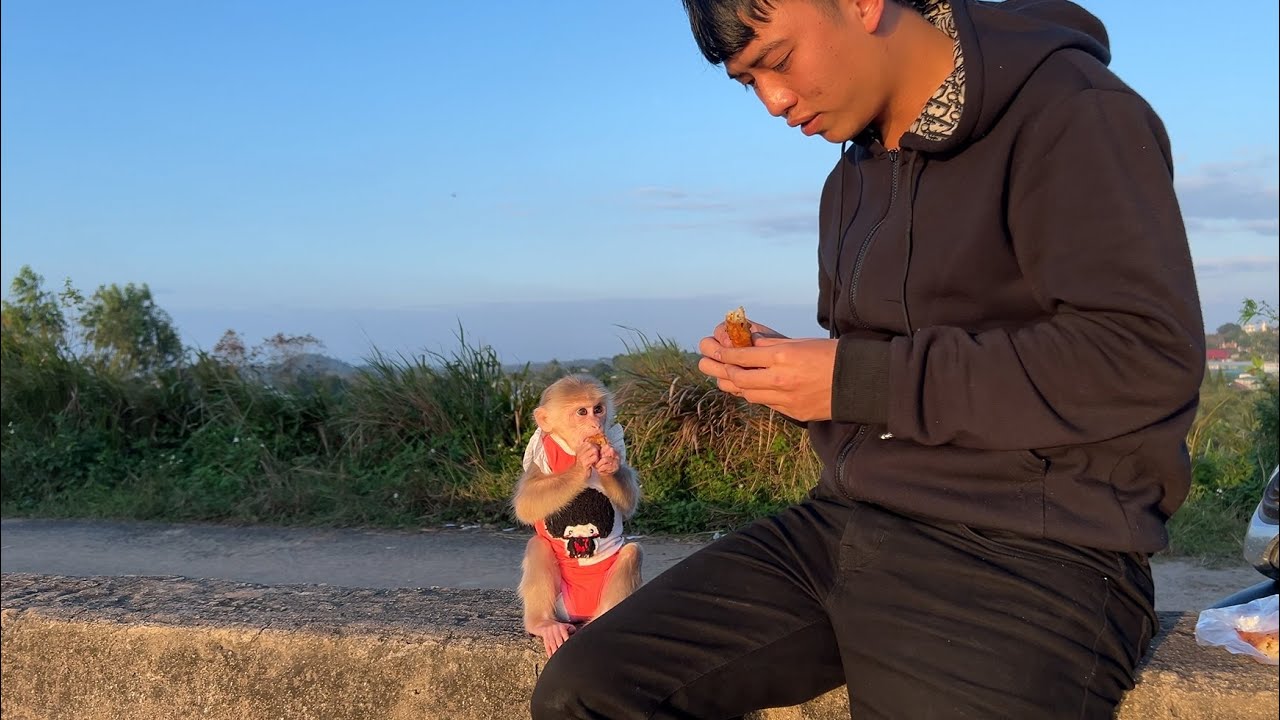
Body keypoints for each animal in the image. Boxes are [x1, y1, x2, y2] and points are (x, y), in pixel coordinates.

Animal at [512, 374, 643, 658]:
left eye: (598, 409)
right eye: (582, 412)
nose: (595, 423)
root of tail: (580, 614)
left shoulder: (615, 440)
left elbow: (627, 503)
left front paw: (609, 465)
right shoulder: (538, 455)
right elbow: (527, 503)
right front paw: (582, 464)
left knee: (632, 553)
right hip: (560, 605)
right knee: (538, 545)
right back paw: (542, 623)